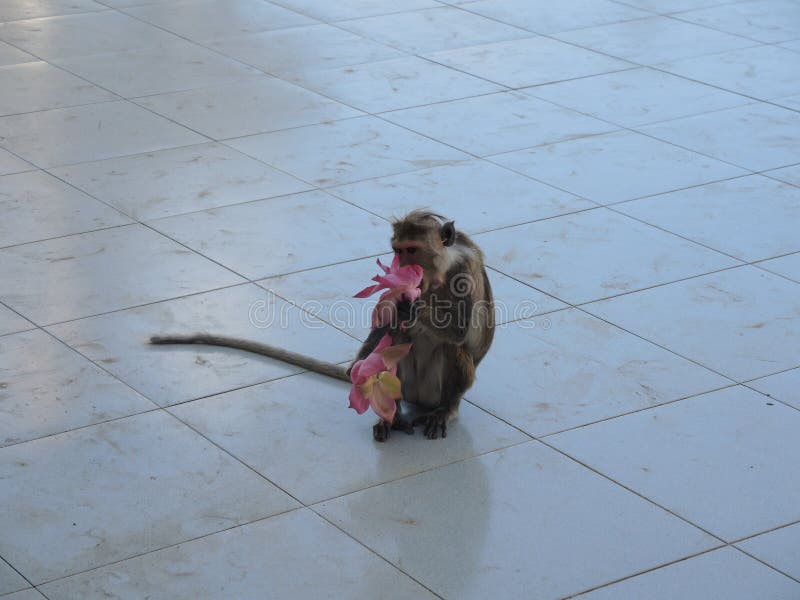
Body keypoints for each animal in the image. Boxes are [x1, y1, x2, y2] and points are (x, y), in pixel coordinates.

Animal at [150, 210, 494, 442]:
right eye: (398, 250)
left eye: (413, 250)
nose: (401, 266)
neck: (439, 271)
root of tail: (418, 400)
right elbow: (387, 325)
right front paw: (369, 347)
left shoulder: (464, 272)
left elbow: (458, 331)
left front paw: (411, 304)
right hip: (406, 386)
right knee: (397, 343)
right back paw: (391, 414)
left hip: (436, 392)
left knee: (452, 351)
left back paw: (443, 410)